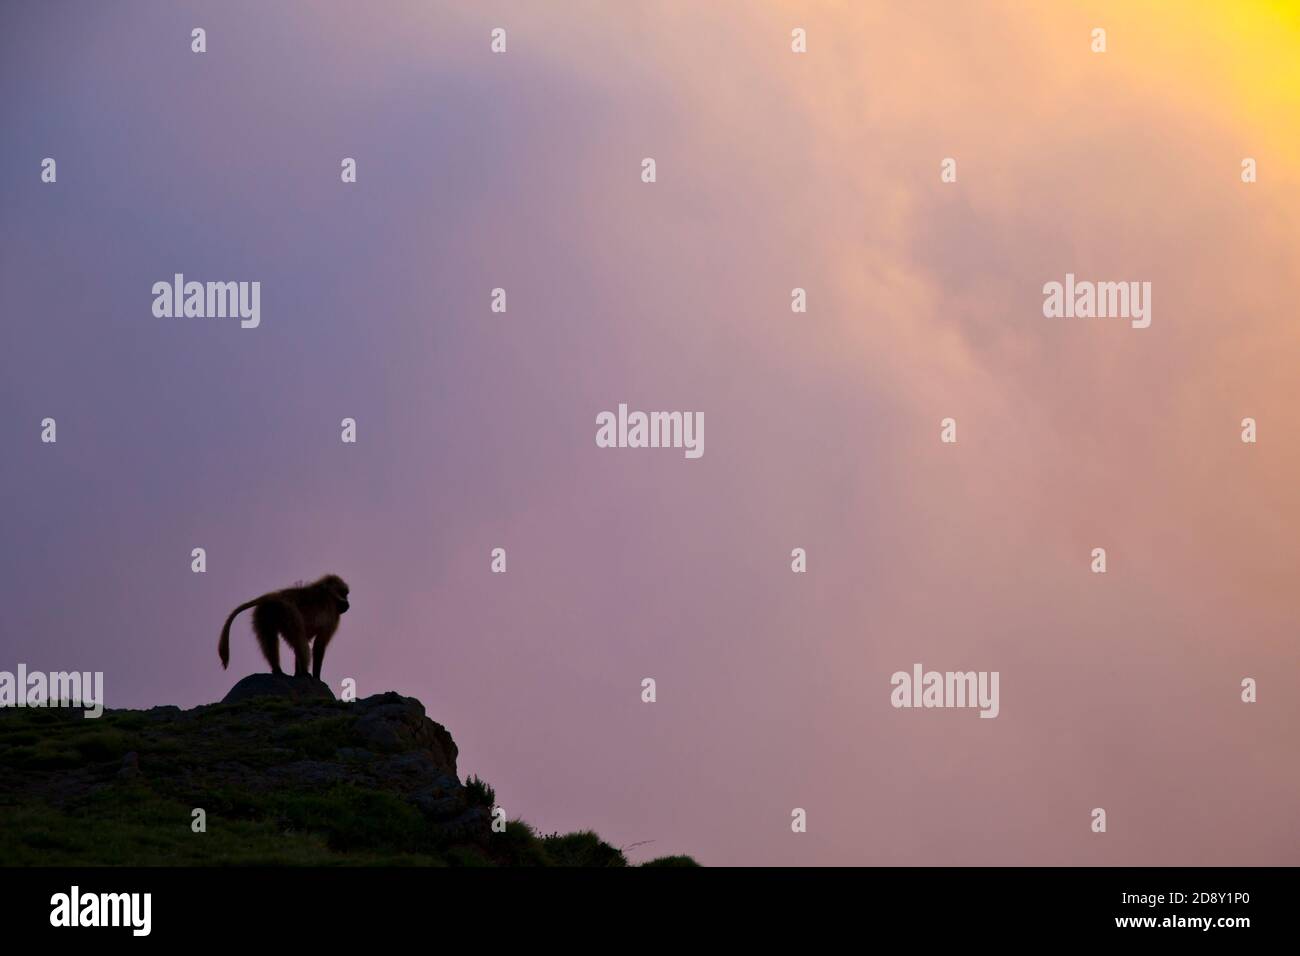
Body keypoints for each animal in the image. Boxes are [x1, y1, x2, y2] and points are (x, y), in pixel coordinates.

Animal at [218, 575, 350, 680]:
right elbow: (319, 645)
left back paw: (278, 670)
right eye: (344, 593)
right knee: (299, 637)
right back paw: (305, 673)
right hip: (288, 612)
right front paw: (317, 678)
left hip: (265, 614)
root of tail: (274, 597)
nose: (348, 604)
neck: (327, 593)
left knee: (271, 639)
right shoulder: (333, 614)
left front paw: (297, 674)